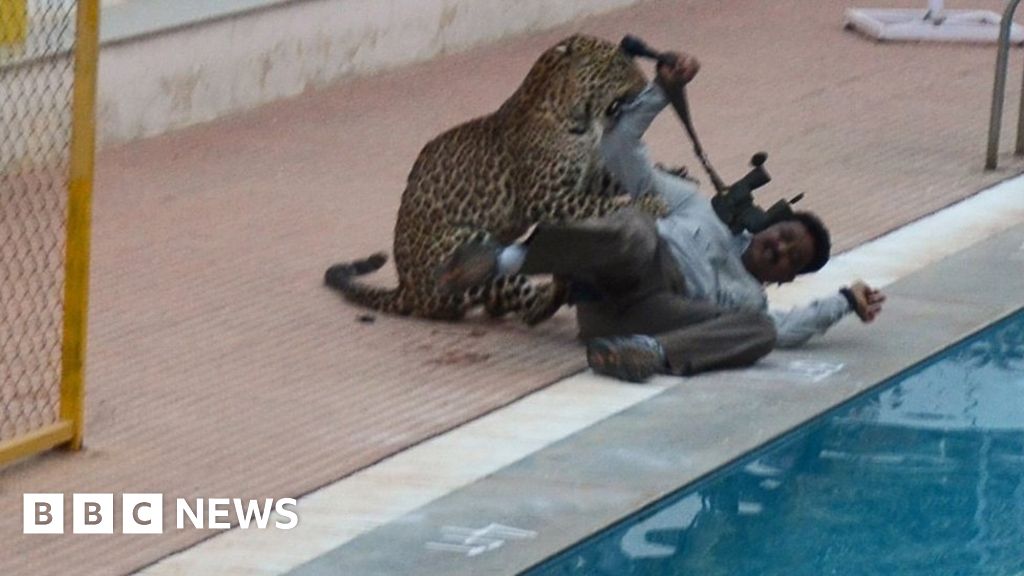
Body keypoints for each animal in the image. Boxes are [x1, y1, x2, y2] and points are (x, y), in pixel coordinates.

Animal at [324, 34, 667, 325]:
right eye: (617, 66)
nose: (645, 84)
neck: (578, 117)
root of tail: (407, 289)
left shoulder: (588, 175)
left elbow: (611, 183)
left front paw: (668, 172)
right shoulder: (548, 196)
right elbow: (601, 205)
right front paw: (651, 203)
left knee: (501, 304)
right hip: (470, 248)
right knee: (524, 307)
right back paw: (556, 287)